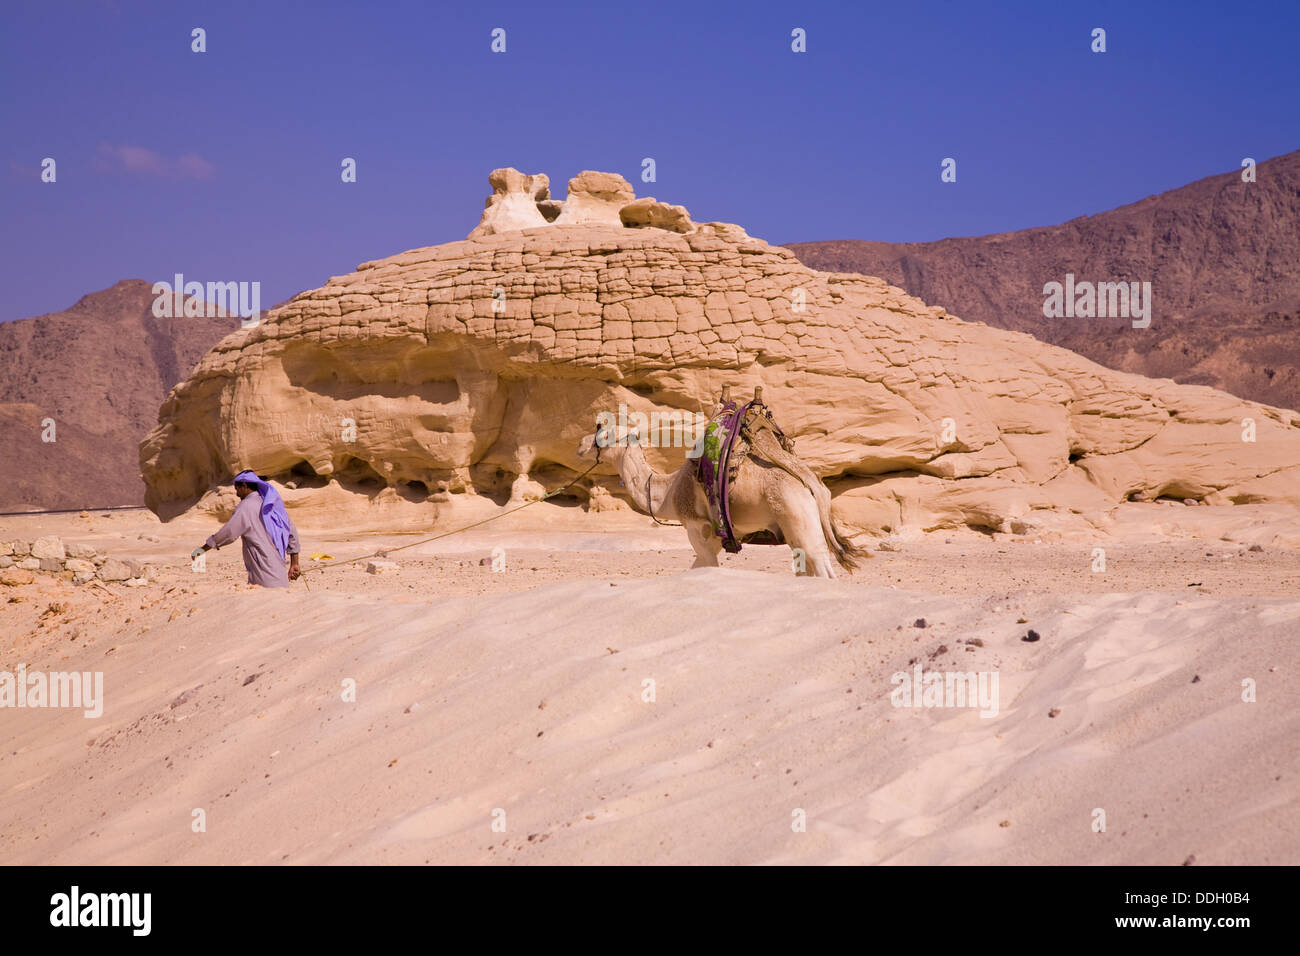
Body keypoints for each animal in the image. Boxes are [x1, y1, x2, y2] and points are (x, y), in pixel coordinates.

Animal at [576, 391, 870, 578]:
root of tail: (812, 484)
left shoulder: (697, 528)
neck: (669, 492)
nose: (580, 445)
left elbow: (709, 568)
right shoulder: (717, 537)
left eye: (602, 432)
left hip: (796, 514)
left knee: (821, 567)